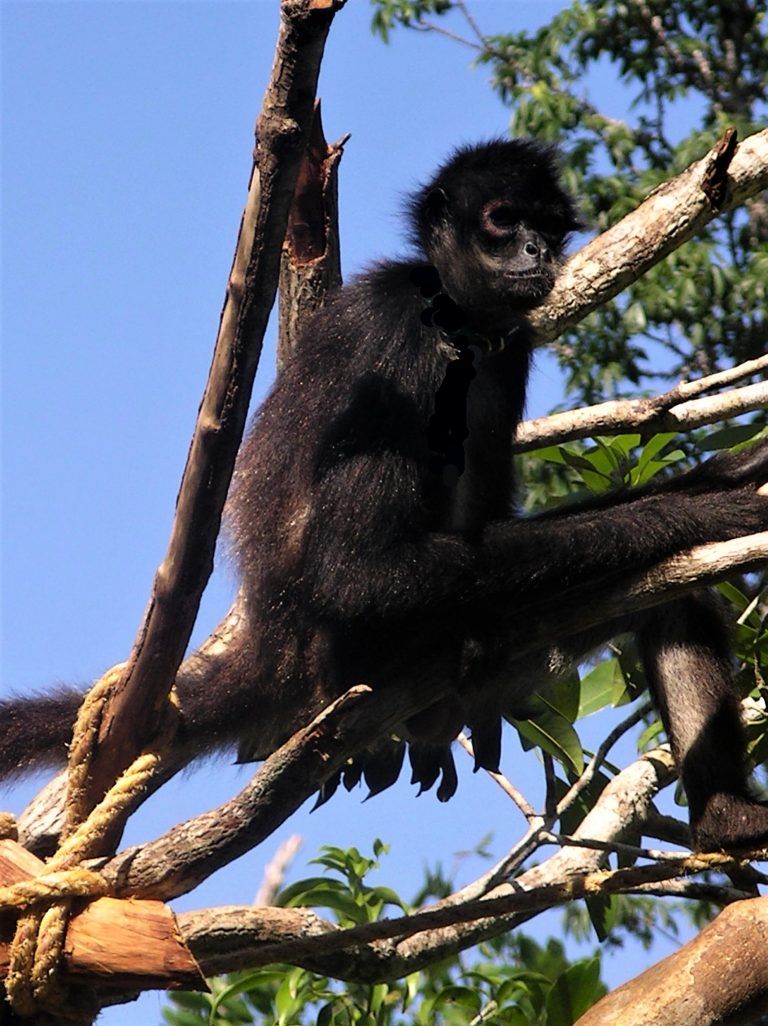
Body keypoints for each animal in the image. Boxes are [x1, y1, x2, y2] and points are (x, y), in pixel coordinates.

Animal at [3, 138, 768, 851]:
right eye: (503, 219)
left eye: (550, 228)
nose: (535, 251)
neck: (458, 318)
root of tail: (275, 643)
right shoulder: (398, 328)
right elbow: (356, 574)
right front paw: (701, 507)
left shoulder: (511, 343)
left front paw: (720, 476)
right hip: (345, 652)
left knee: (673, 595)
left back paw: (729, 823)